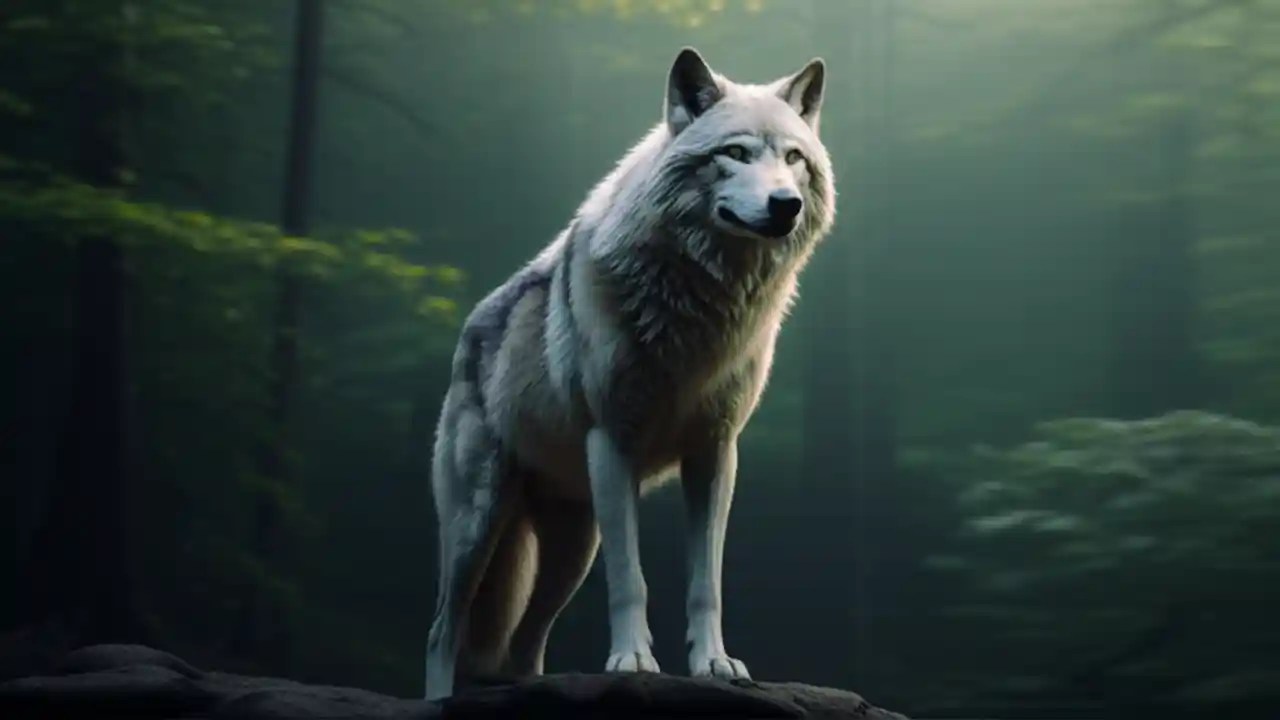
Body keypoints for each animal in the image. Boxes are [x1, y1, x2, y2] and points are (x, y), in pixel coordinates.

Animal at [423, 46, 836, 701]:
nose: (785, 205)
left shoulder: (716, 452)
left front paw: (715, 664)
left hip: (570, 551)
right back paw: (438, 698)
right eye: (736, 153)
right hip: (477, 527)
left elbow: (706, 582)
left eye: (793, 159)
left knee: (525, 642)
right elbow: (631, 579)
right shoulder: (611, 443)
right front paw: (633, 662)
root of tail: (471, 326)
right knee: (443, 627)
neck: (701, 308)